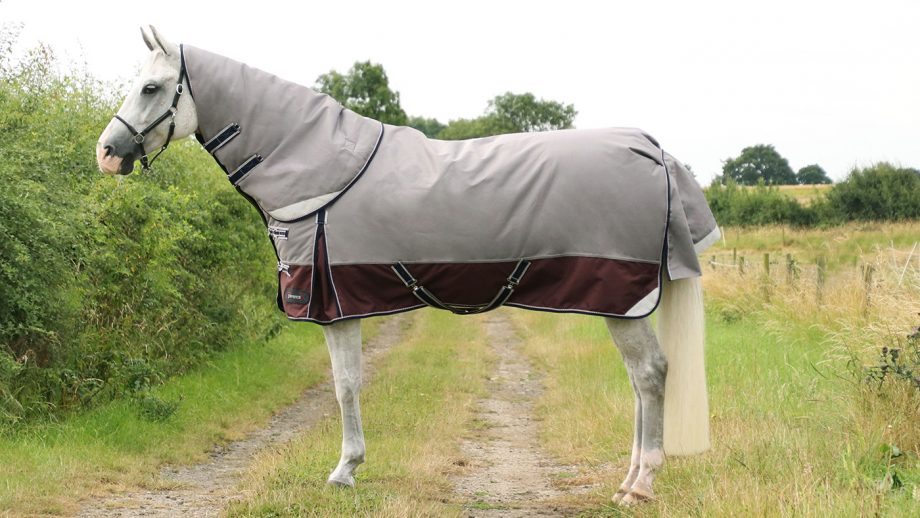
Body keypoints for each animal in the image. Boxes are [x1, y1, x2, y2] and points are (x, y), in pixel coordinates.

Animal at [96, 26, 719, 505]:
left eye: (151, 87)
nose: (106, 153)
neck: (318, 170)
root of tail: (651, 149)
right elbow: (347, 383)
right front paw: (349, 468)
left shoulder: (335, 306)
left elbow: (346, 385)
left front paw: (343, 471)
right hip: (623, 304)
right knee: (639, 382)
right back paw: (627, 481)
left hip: (622, 300)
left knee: (650, 375)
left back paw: (640, 486)